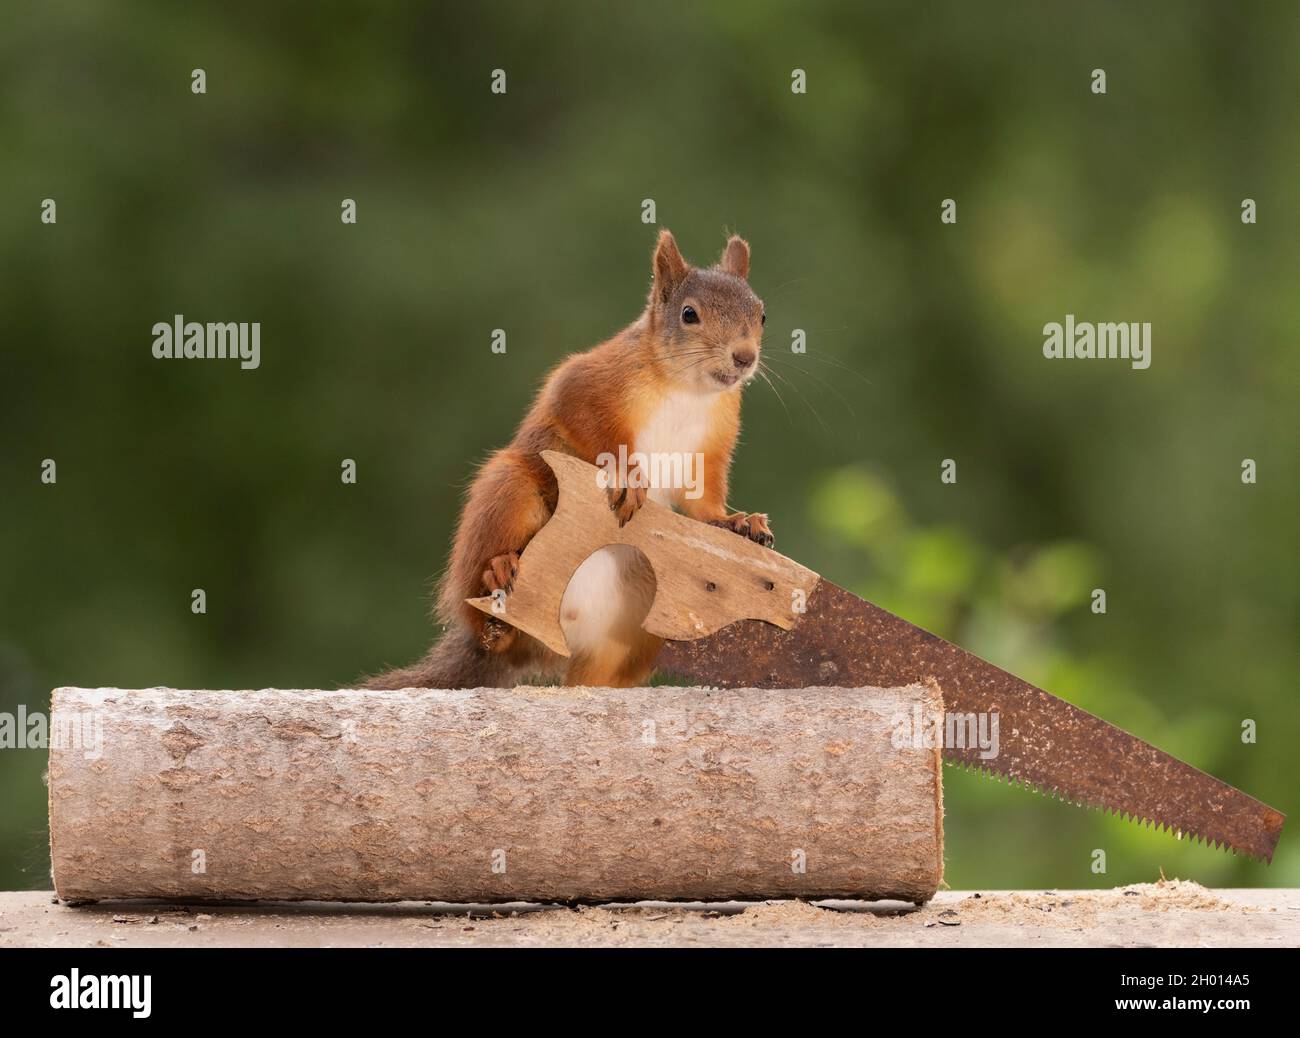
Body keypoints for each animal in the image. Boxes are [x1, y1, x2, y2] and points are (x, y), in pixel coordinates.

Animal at [363, 229, 772, 690]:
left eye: (762, 315)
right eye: (689, 314)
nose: (744, 357)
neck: (689, 392)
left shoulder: (712, 444)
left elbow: (703, 500)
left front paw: (737, 521)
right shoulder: (592, 381)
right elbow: (583, 416)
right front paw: (627, 476)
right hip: (508, 491)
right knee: (483, 613)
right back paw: (497, 579)